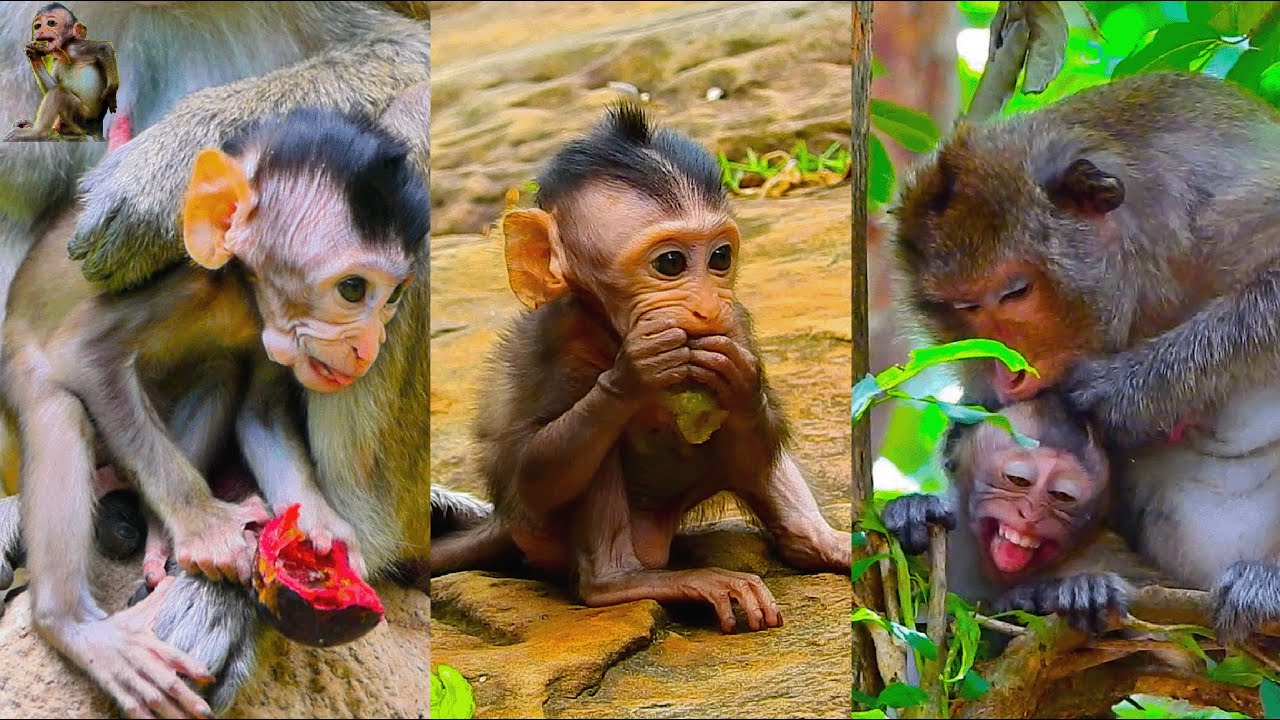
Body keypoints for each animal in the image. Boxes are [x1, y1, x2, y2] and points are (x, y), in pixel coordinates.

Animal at [0, 105, 424, 719]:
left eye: (392, 296)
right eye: (352, 289)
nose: (368, 347)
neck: (239, 293)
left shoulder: (272, 336)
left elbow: (261, 415)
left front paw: (321, 528)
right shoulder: (178, 284)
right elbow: (88, 358)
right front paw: (206, 530)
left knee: (217, 372)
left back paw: (156, 534)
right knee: (57, 407)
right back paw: (75, 625)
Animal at [4, 2, 118, 142]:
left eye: (51, 23)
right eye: (37, 26)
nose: (40, 30)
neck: (63, 50)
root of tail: (96, 129)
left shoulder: (75, 47)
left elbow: (104, 48)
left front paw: (111, 93)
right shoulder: (56, 62)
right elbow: (52, 85)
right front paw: (34, 55)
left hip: (83, 118)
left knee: (59, 93)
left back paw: (36, 132)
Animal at [427, 101, 851, 634]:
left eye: (720, 257)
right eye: (670, 263)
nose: (707, 309)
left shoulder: (738, 319)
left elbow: (749, 447)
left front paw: (739, 378)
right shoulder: (564, 349)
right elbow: (535, 469)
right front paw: (632, 374)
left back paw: (817, 541)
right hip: (543, 536)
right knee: (595, 452)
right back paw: (620, 582)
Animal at [883, 394, 1165, 634]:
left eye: (1061, 496)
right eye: (1018, 480)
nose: (1030, 515)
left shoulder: (1103, 551)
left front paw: (1087, 589)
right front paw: (912, 510)